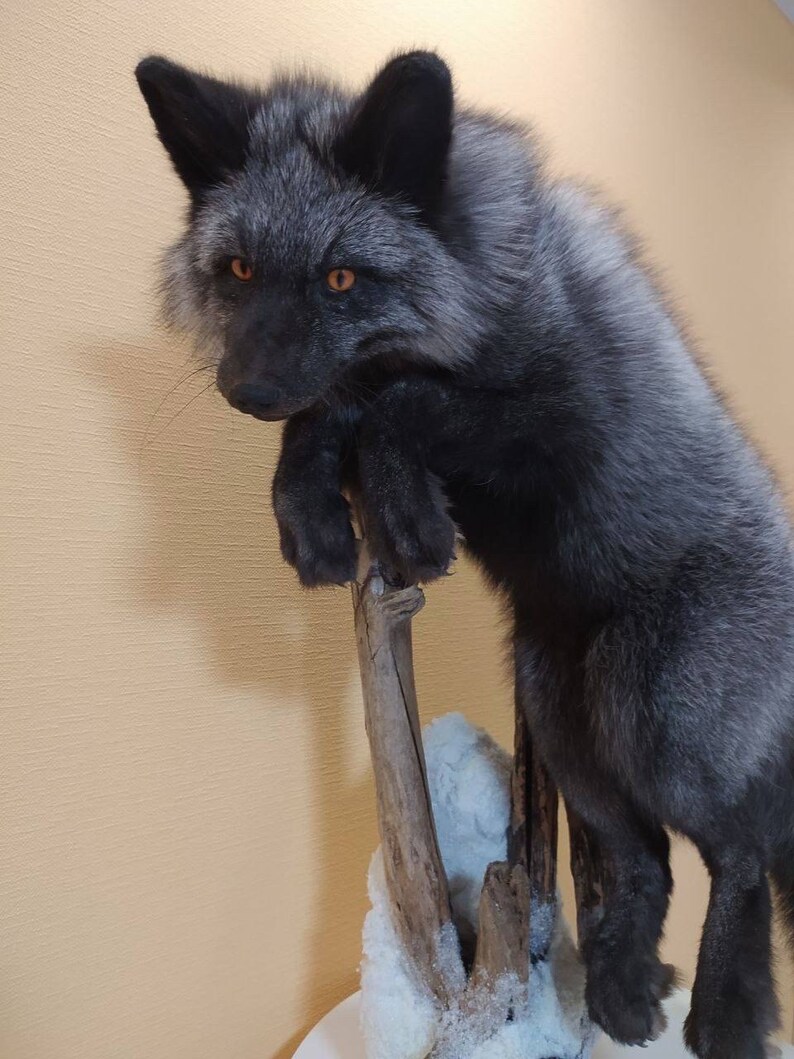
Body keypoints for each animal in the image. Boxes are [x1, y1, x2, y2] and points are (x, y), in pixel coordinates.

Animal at [135, 51, 794, 1058]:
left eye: (340, 279)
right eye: (239, 269)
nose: (244, 389)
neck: (496, 282)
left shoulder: (565, 418)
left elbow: (397, 404)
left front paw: (406, 515)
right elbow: (332, 415)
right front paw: (314, 518)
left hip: (655, 717)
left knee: (741, 850)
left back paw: (720, 1015)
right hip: (564, 722)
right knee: (647, 862)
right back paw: (622, 994)